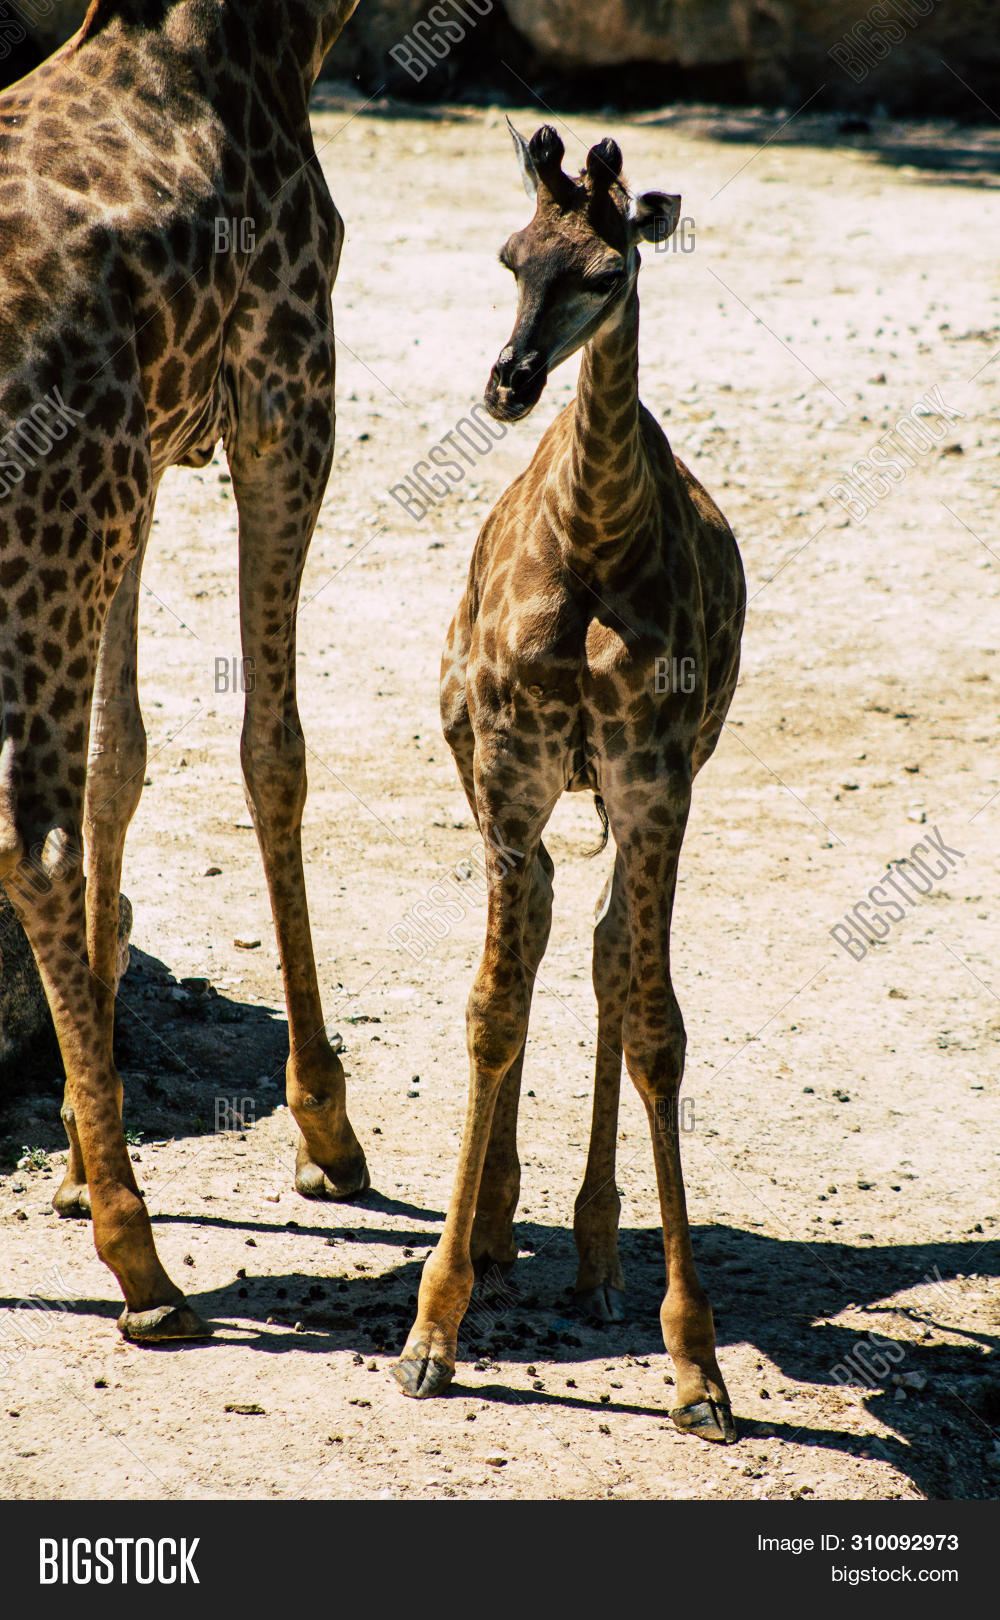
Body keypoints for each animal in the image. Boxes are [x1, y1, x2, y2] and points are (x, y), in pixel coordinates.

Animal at [0, 0, 371, 1343]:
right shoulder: (286, 390)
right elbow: (274, 749)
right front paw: (326, 1125)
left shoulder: (149, 456)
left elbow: (125, 760)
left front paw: (67, 1148)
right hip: (61, 512)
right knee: (34, 839)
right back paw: (143, 1263)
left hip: (72, 517)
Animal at [393, 124, 746, 1443]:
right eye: (510, 257)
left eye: (604, 269)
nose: (507, 382)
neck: (592, 544)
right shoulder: (507, 778)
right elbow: (492, 1007)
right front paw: (430, 1329)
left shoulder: (654, 786)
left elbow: (655, 1026)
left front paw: (697, 1365)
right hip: (493, 774)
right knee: (543, 933)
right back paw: (499, 1228)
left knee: (596, 951)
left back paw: (593, 1255)